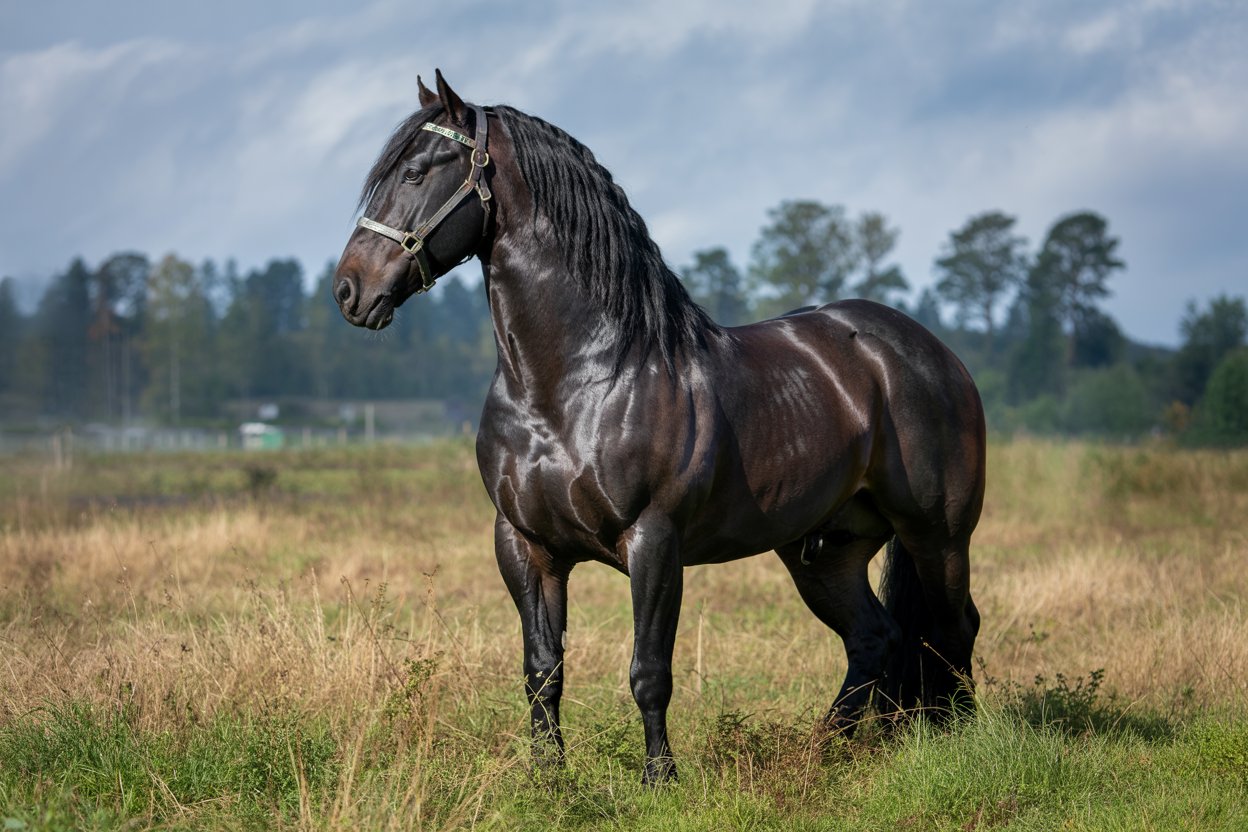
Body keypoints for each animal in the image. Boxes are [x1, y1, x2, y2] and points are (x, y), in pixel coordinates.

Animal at [333, 71, 985, 785]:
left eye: (416, 172)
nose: (349, 289)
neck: (574, 385)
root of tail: (928, 351)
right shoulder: (525, 545)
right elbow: (542, 671)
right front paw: (548, 778)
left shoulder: (653, 540)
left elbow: (649, 670)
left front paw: (659, 779)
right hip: (823, 549)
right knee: (875, 637)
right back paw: (822, 753)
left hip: (937, 536)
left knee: (954, 629)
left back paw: (959, 738)